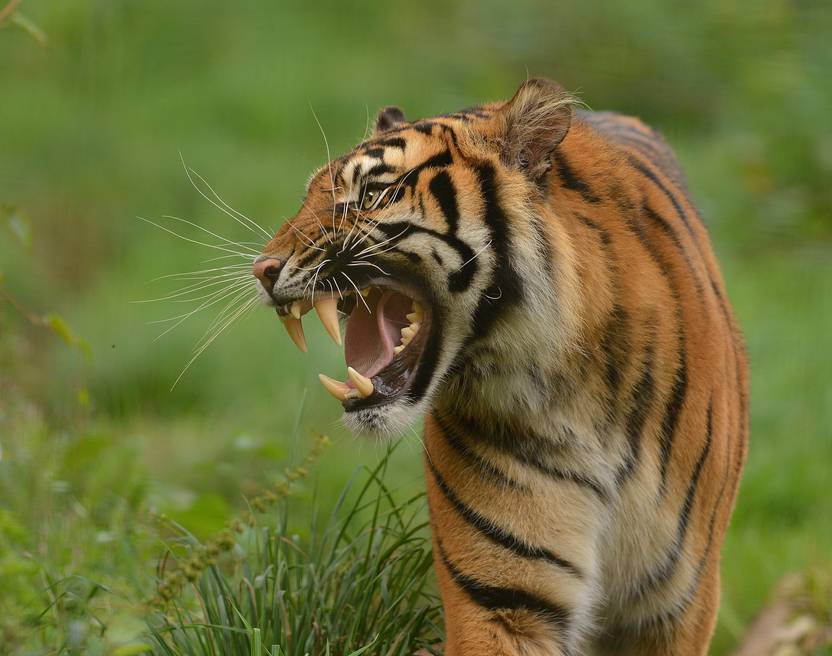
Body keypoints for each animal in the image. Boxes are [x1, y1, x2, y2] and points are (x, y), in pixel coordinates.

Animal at [251, 78, 748, 655]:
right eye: (306, 195)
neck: (575, 385)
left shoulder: (674, 606)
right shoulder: (502, 596)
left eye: (371, 195)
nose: (262, 269)